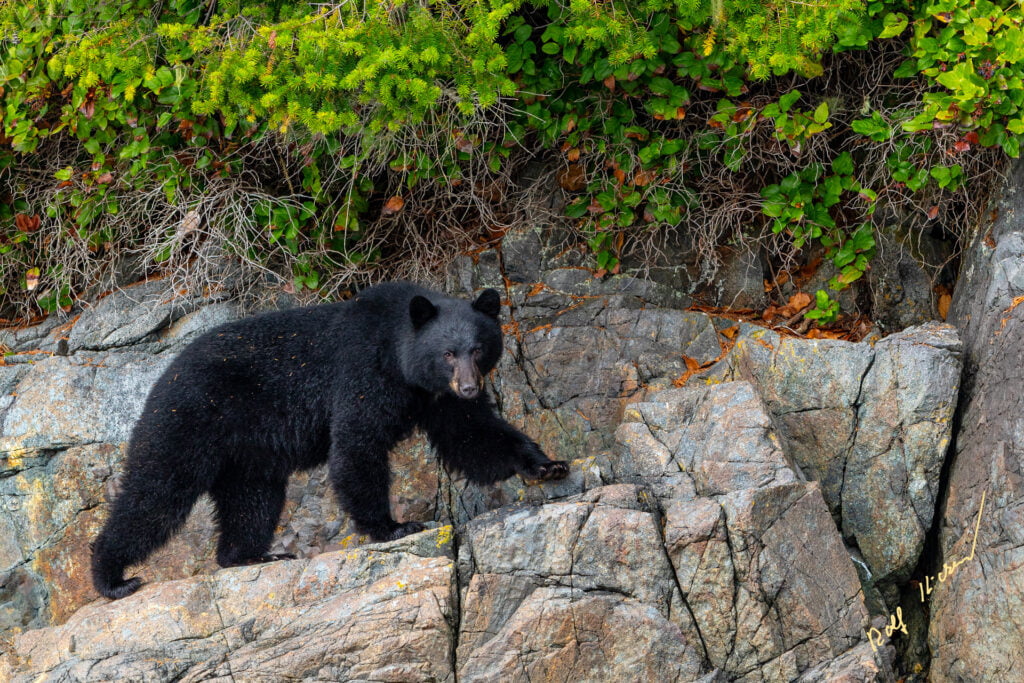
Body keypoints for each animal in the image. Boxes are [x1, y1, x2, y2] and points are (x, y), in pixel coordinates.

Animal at [90, 282, 569, 599]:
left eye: (479, 348)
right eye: (448, 352)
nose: (469, 387)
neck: (402, 358)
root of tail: (163, 375)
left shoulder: (438, 400)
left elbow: (475, 435)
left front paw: (546, 466)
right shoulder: (362, 373)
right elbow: (357, 444)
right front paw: (393, 526)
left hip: (248, 454)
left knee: (252, 500)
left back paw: (250, 556)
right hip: (188, 419)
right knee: (157, 491)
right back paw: (112, 576)